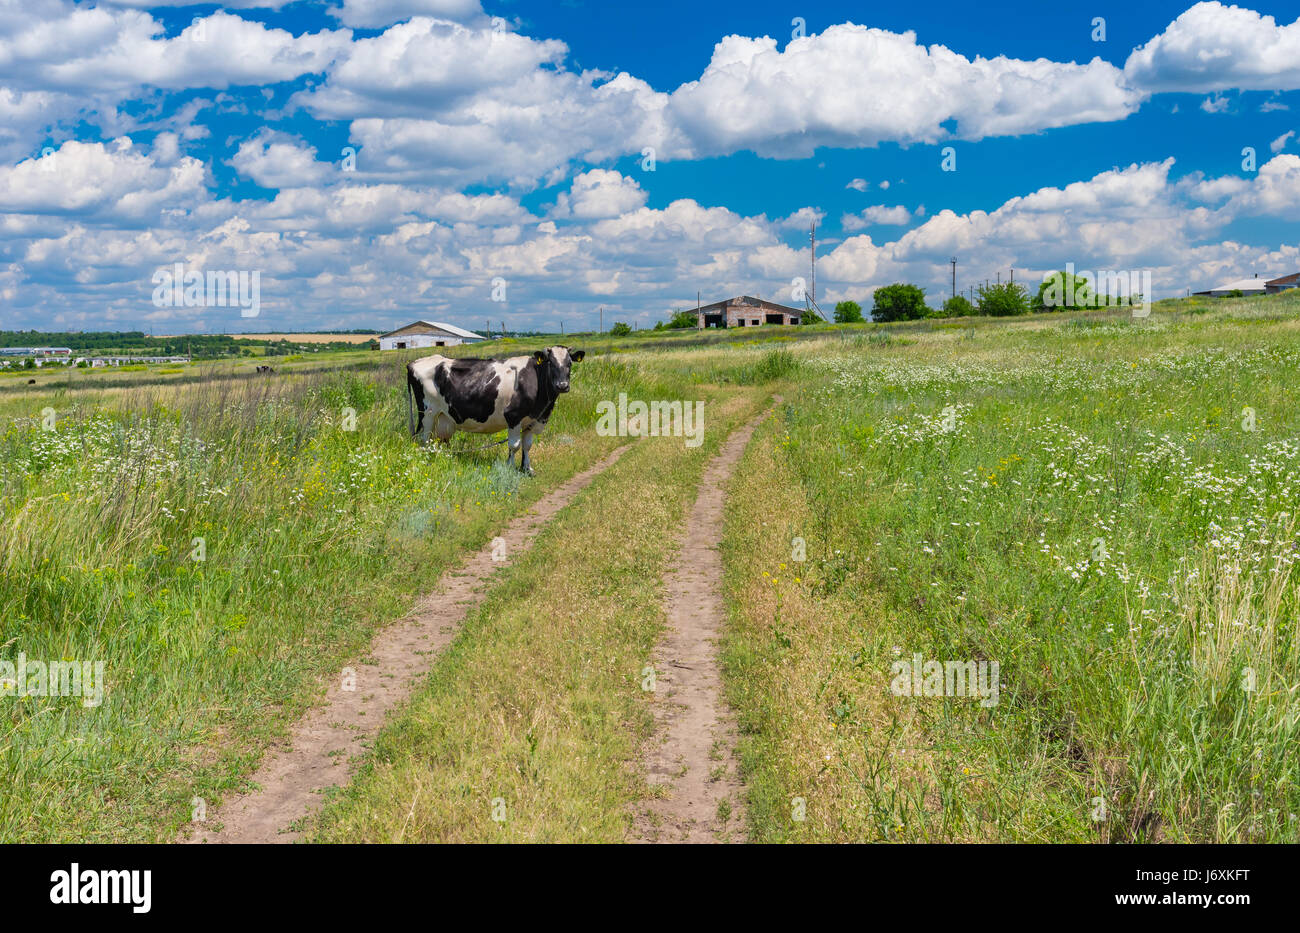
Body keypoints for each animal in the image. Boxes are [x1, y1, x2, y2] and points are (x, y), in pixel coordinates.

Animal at [406, 346, 585, 475]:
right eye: (550, 363)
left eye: (570, 364)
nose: (562, 385)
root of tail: (414, 363)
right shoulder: (513, 416)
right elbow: (515, 445)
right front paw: (510, 467)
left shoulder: (532, 420)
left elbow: (527, 445)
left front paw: (527, 469)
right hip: (427, 413)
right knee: (424, 440)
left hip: (443, 417)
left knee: (437, 440)